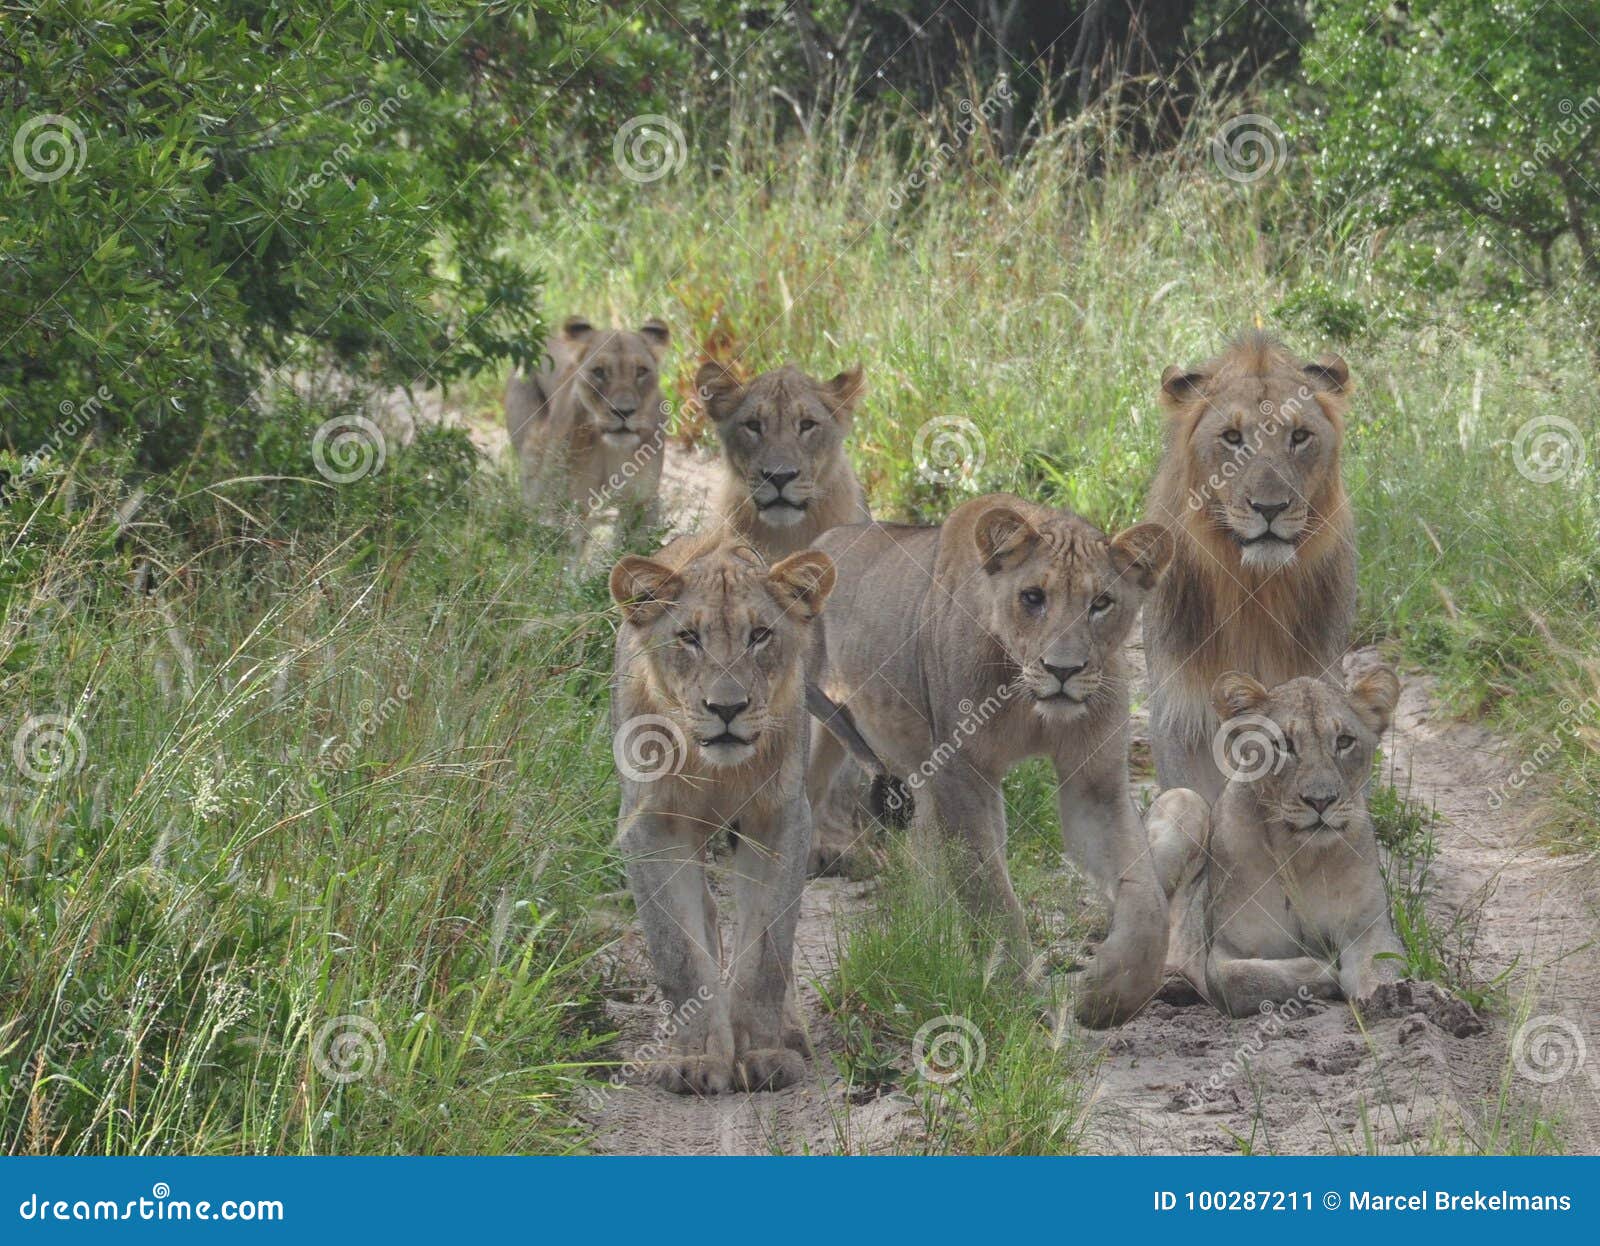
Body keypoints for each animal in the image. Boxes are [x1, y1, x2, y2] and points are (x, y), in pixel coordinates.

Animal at [505, 315, 671, 543]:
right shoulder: (568, 500)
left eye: (641, 371)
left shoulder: (641, 501)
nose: (624, 411)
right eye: (599, 372)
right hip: (533, 455)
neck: (610, 448)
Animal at [609, 532, 836, 1094]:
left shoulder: (780, 820)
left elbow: (767, 948)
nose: (727, 708)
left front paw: (762, 1052)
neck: (709, 767)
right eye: (689, 637)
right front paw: (694, 1059)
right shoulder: (650, 825)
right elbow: (678, 950)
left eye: (760, 636)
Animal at [807, 494, 1176, 1027]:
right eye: (1033, 597)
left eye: (1101, 603)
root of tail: (821, 540)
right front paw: (1016, 994)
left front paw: (1108, 993)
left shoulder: (1095, 781)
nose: (1063, 670)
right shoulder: (962, 771)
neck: (1026, 700)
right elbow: (990, 889)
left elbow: (1147, 896)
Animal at [1146, 665, 1404, 1016]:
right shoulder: (1227, 950)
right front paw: (1324, 969)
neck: (1301, 857)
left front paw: (1391, 1000)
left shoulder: (1368, 929)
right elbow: (1239, 978)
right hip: (1184, 800)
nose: (1321, 800)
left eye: (1344, 741)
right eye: (1284, 745)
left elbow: (1382, 969)